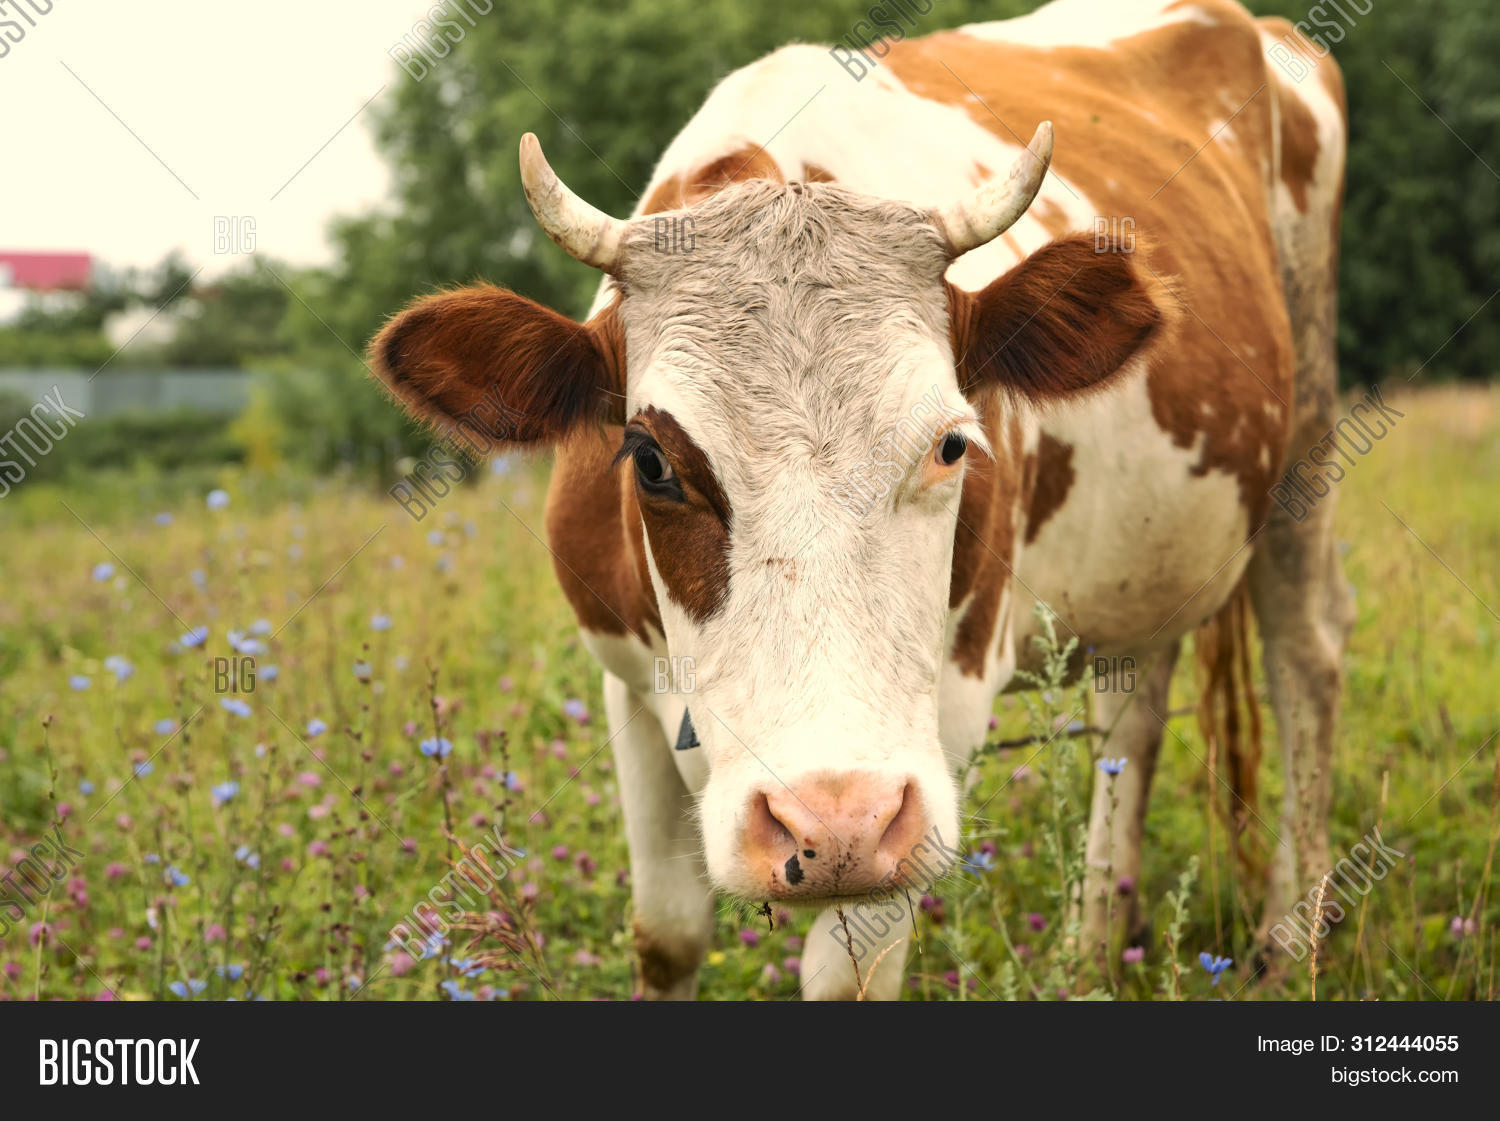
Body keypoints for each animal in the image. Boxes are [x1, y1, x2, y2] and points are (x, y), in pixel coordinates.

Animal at [371, 0, 1351, 999]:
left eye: (952, 442)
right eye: (649, 461)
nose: (829, 822)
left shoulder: (943, 719)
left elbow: (849, 975)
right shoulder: (625, 684)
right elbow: (667, 936)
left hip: (1307, 439)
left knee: (1304, 657)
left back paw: (1290, 936)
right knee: (1133, 704)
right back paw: (1092, 946)